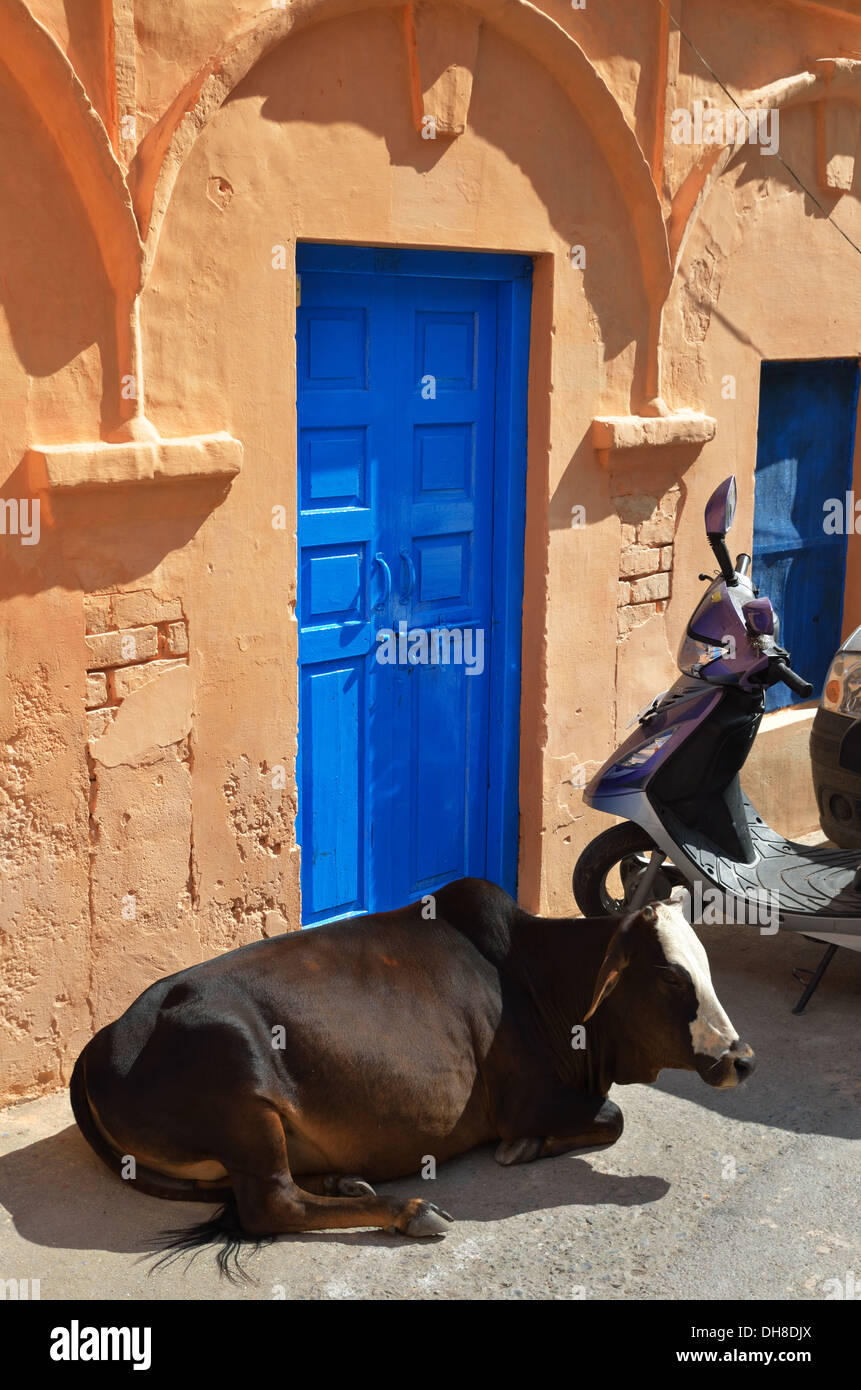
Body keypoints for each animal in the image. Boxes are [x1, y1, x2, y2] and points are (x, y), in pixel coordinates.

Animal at [70, 878, 754, 1273]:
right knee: (270, 1203)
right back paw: (410, 1210)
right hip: (242, 1088)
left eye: (706, 967)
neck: (539, 978)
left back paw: (347, 1179)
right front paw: (523, 1148)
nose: (740, 1058)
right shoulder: (529, 1100)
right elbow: (613, 1117)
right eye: (670, 977)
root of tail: (99, 1046)